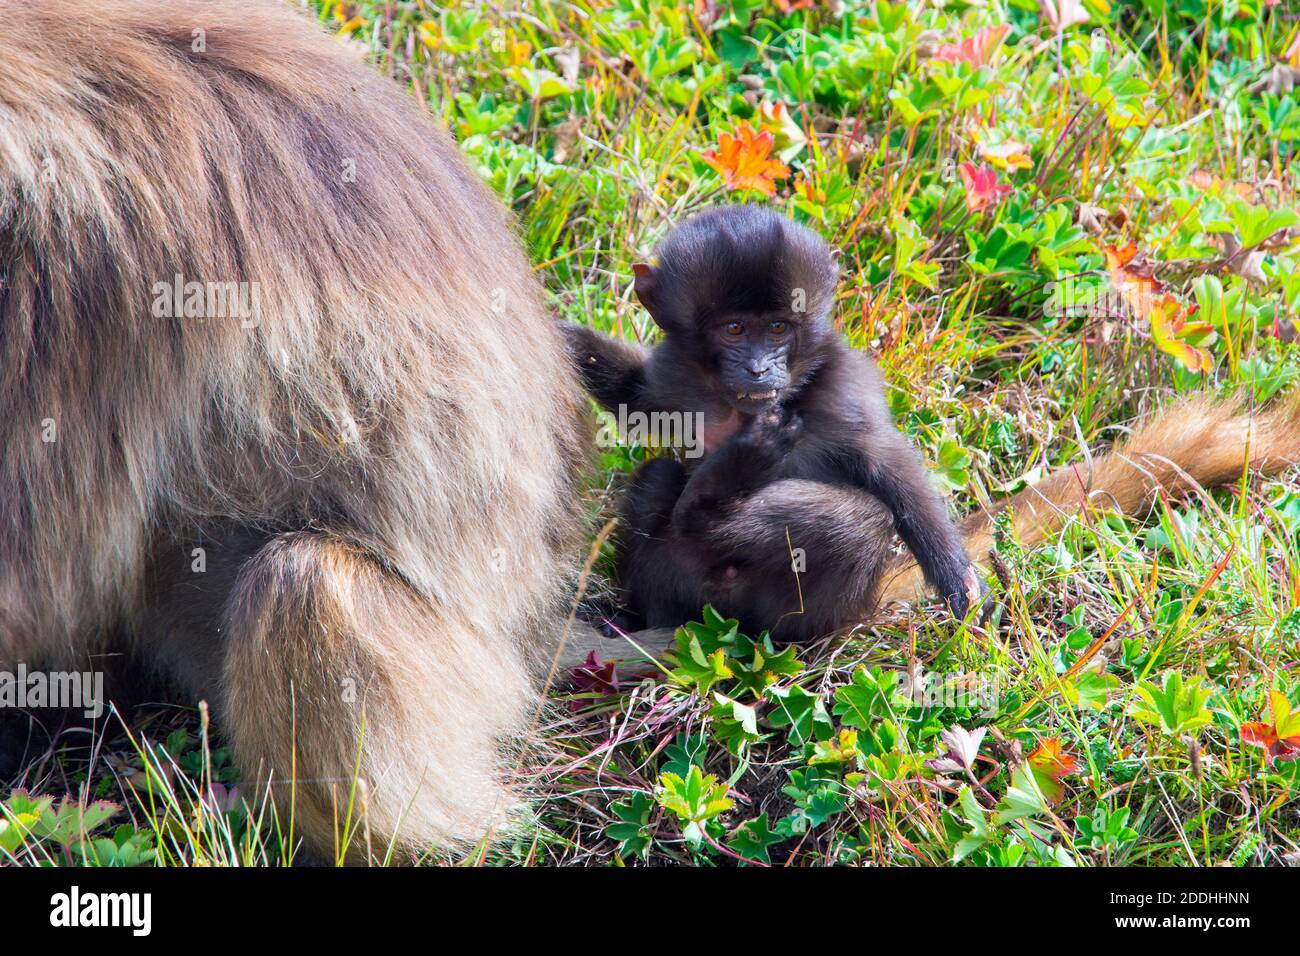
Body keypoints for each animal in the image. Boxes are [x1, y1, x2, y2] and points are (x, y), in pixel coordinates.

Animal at [564, 205, 1300, 642]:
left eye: (779, 329)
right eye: (734, 330)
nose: (762, 368)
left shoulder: (838, 386)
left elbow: (884, 465)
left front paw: (956, 577)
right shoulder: (678, 374)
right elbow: (641, 400)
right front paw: (565, 337)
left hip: (809, 612)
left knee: (857, 520)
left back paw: (716, 504)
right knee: (658, 481)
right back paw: (645, 606)